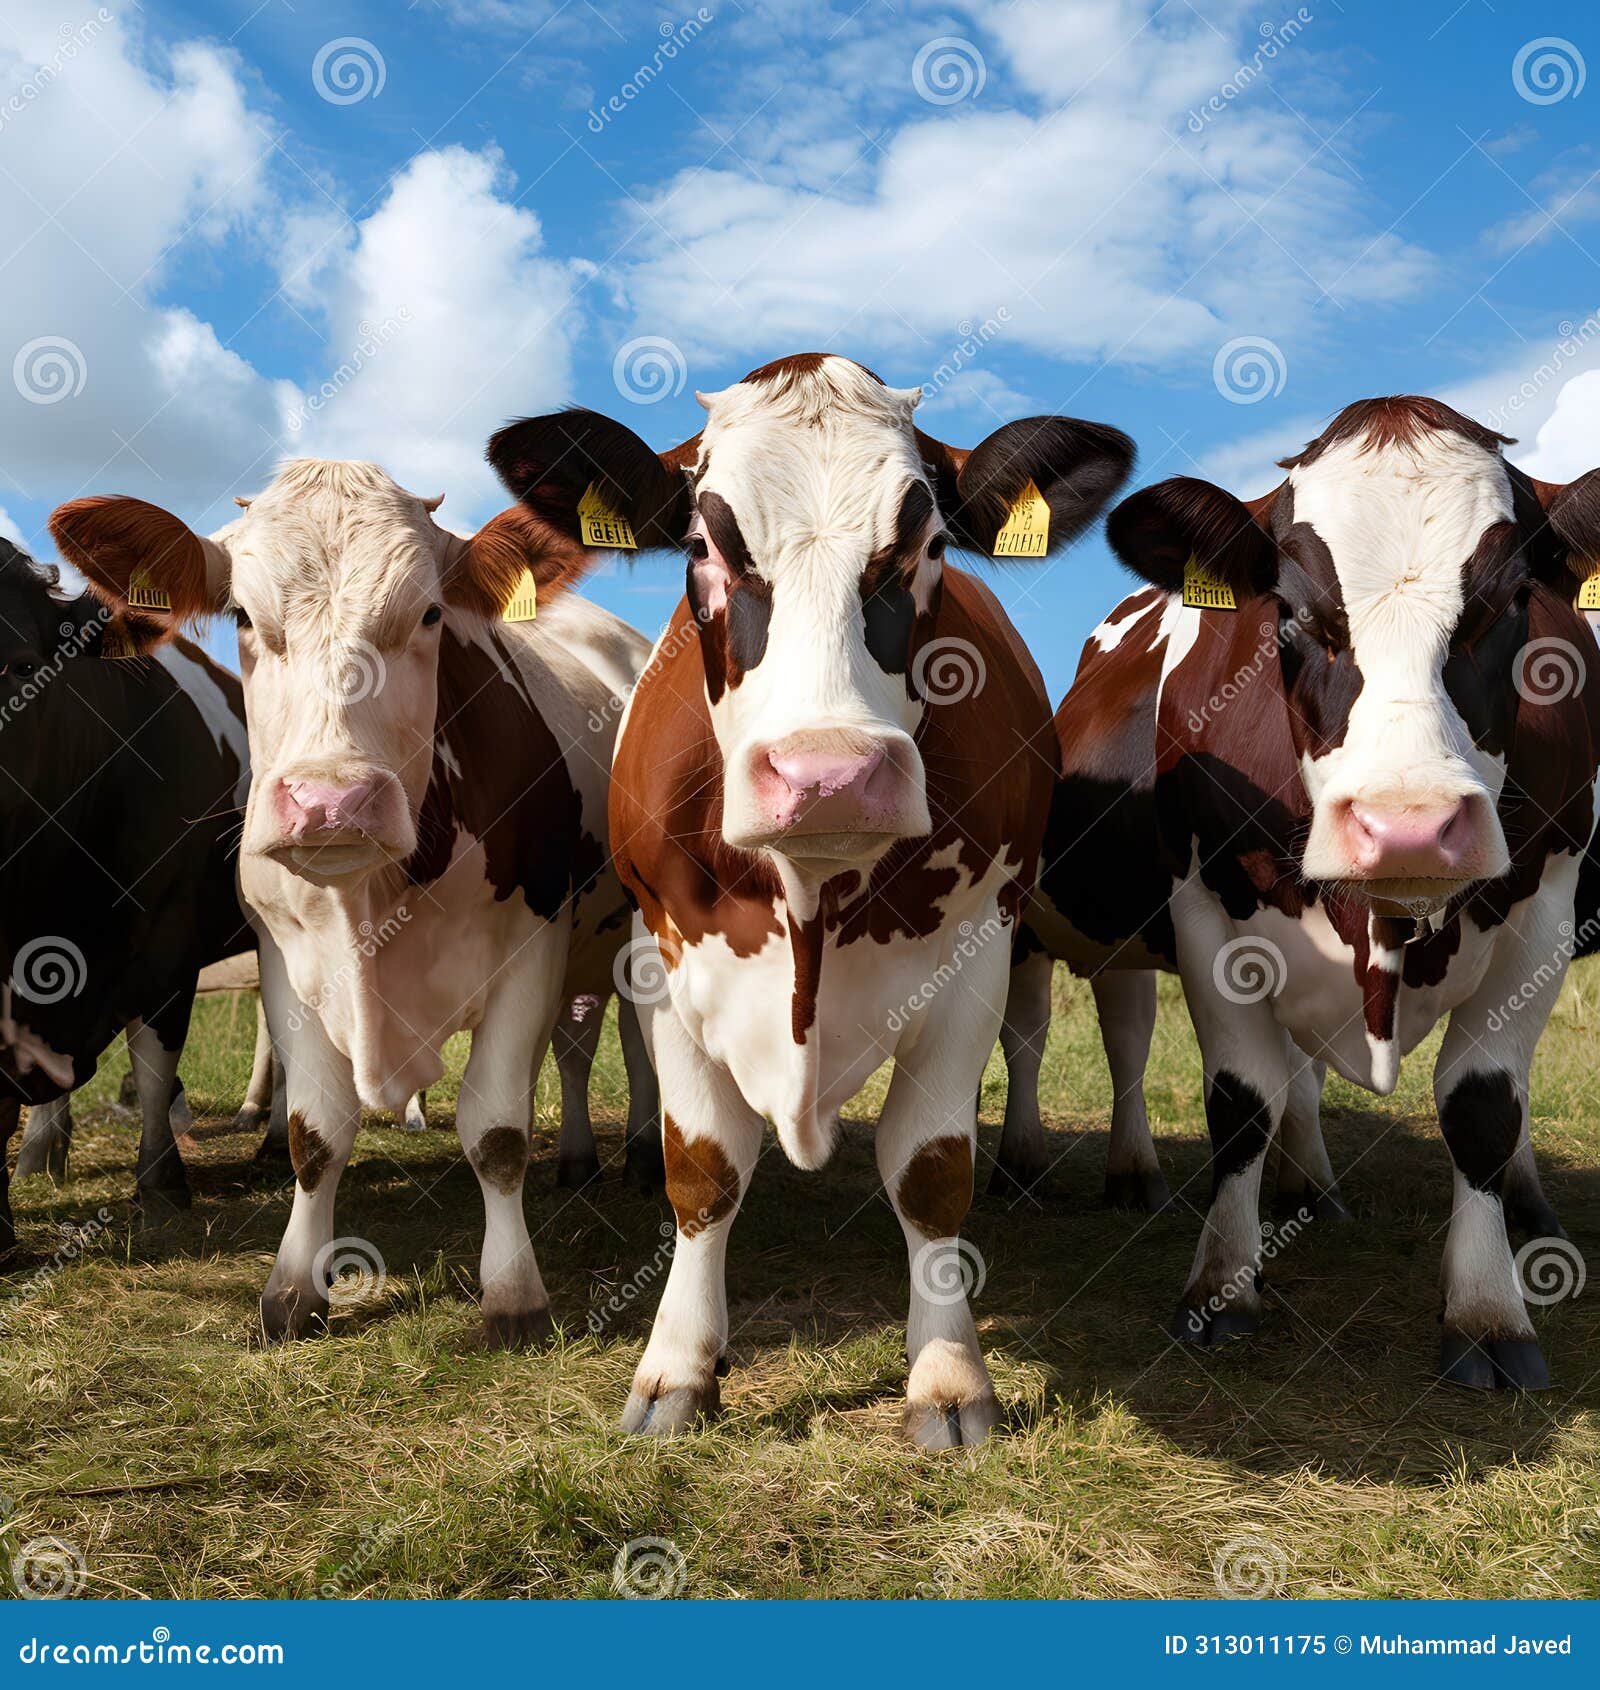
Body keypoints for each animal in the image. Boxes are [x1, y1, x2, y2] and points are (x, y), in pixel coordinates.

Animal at [53, 460, 660, 1344]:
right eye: (241, 615)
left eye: (432, 613)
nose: (330, 801)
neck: (370, 905)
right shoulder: (285, 963)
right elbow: (314, 1133)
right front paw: (290, 1293)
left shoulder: (531, 949)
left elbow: (497, 1132)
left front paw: (515, 1298)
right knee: (579, 1051)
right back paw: (579, 1161)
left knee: (637, 1041)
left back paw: (644, 1158)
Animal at [486, 354, 1134, 1443]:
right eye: (703, 544)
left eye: (926, 546)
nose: (828, 775)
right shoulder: (666, 956)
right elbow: (703, 1171)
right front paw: (677, 1370)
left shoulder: (977, 952)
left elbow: (931, 1170)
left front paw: (946, 1377)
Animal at [994, 395, 1599, 1390]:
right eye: (1290, 612)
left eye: (1514, 602)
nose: (1406, 825)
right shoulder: (1206, 905)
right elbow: (1241, 1101)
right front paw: (1220, 1289)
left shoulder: (1545, 907)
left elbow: (1482, 1109)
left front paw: (1487, 1314)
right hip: (1023, 926)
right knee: (1032, 1034)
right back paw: (1021, 1166)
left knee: (1134, 1033)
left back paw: (1172, 1176)